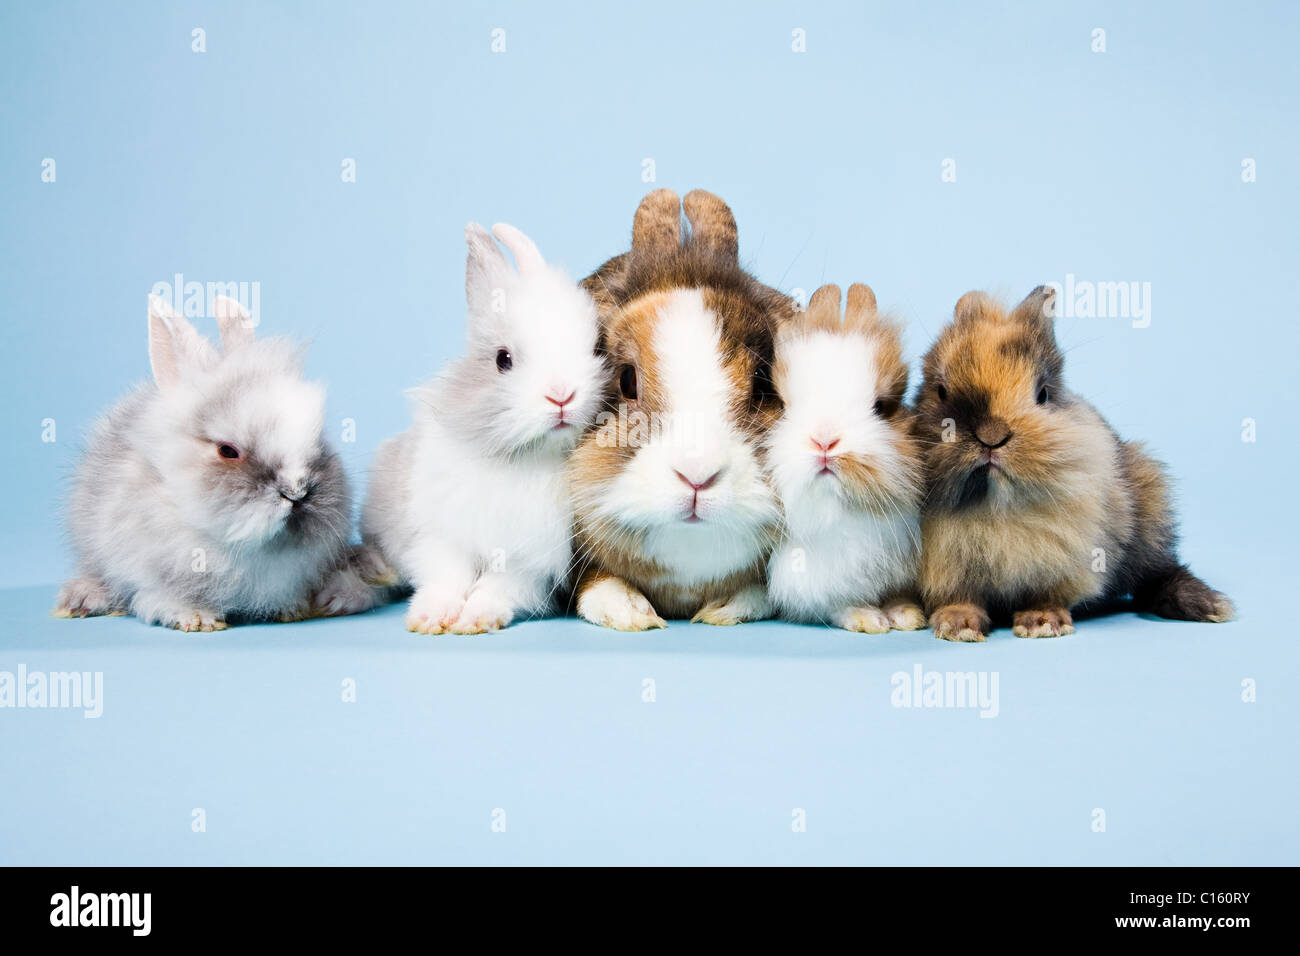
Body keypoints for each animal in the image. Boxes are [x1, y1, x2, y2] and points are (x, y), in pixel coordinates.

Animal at [53, 294, 375, 630]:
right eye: (227, 451)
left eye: (319, 438)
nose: (297, 492)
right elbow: (158, 596)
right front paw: (196, 618)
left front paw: (318, 603)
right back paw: (81, 600)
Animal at [359, 223, 606, 634]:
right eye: (502, 359)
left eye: (597, 350)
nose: (561, 395)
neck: (526, 459)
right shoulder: (440, 536)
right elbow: (446, 576)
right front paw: (430, 618)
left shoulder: (530, 563)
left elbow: (499, 587)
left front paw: (476, 618)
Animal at [763, 282, 926, 632]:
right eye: (782, 405)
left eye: (881, 406)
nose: (825, 440)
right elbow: (836, 605)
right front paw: (868, 619)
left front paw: (907, 615)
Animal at [913, 285, 1235, 641]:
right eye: (941, 391)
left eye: (1043, 394)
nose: (992, 437)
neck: (994, 506)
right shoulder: (948, 572)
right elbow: (960, 598)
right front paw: (957, 626)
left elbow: (1046, 594)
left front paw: (1041, 623)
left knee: (1159, 572)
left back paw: (1209, 605)